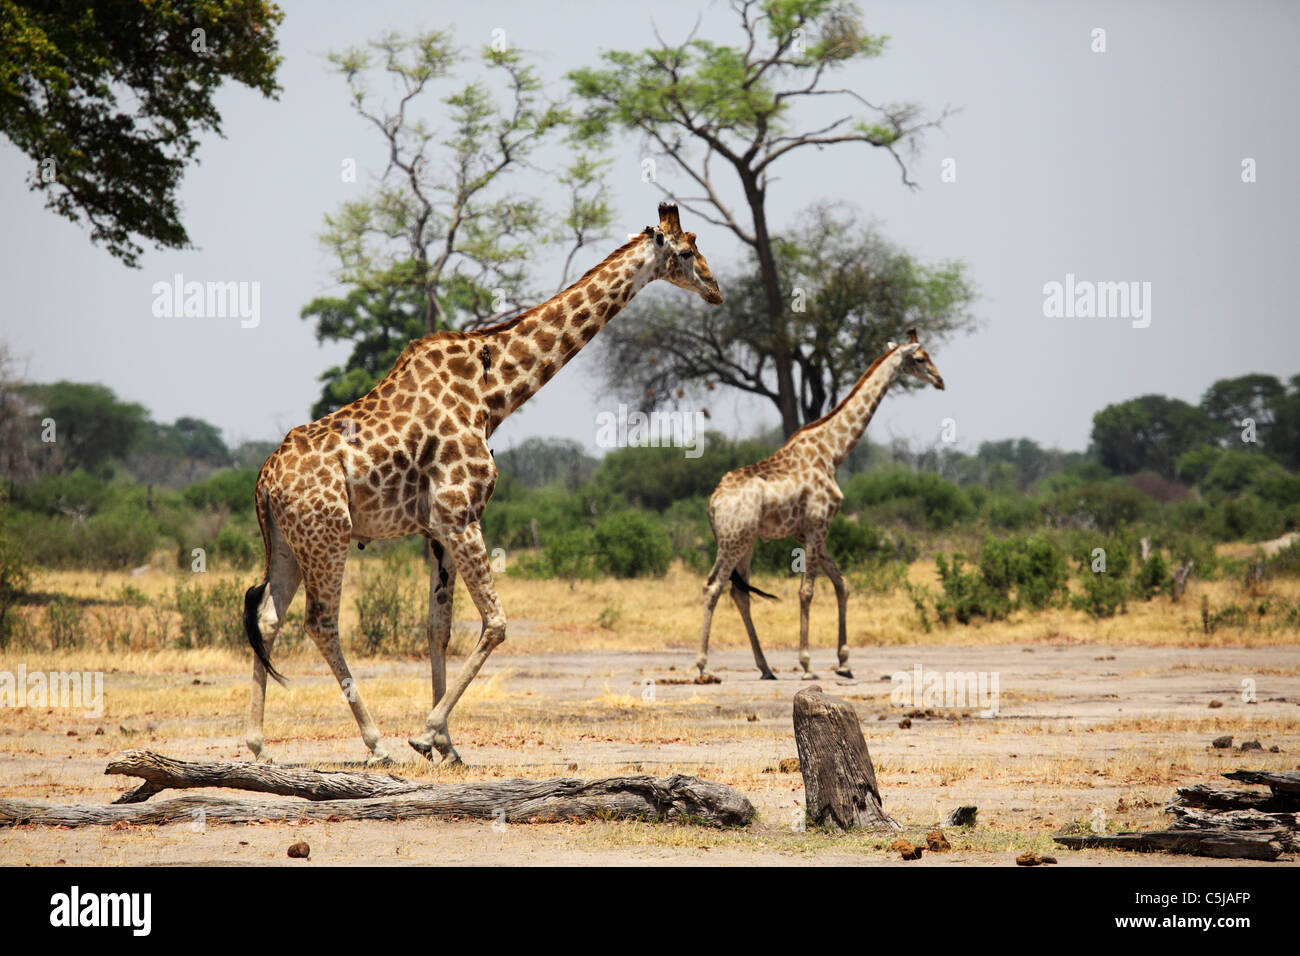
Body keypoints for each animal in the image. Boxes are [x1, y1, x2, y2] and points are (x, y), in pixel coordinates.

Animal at [243, 202, 722, 766]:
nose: (716, 289)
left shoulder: (437, 529)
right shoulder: (460, 513)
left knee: (268, 619)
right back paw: (376, 743)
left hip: (289, 543)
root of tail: (264, 480)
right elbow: (495, 623)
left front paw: (446, 746)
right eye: (686, 251)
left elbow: (439, 628)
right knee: (320, 622)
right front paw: (426, 734)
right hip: (328, 535)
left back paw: (257, 746)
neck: (493, 394)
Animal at [696, 331, 945, 681]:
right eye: (921, 358)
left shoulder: (812, 531)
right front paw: (806, 664)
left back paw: (766, 667)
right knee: (713, 586)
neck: (833, 451)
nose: (940, 381)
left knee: (738, 593)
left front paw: (844, 662)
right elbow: (808, 591)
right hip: (732, 541)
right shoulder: (817, 525)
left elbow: (842, 584)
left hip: (746, 542)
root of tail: (713, 501)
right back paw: (703, 665)